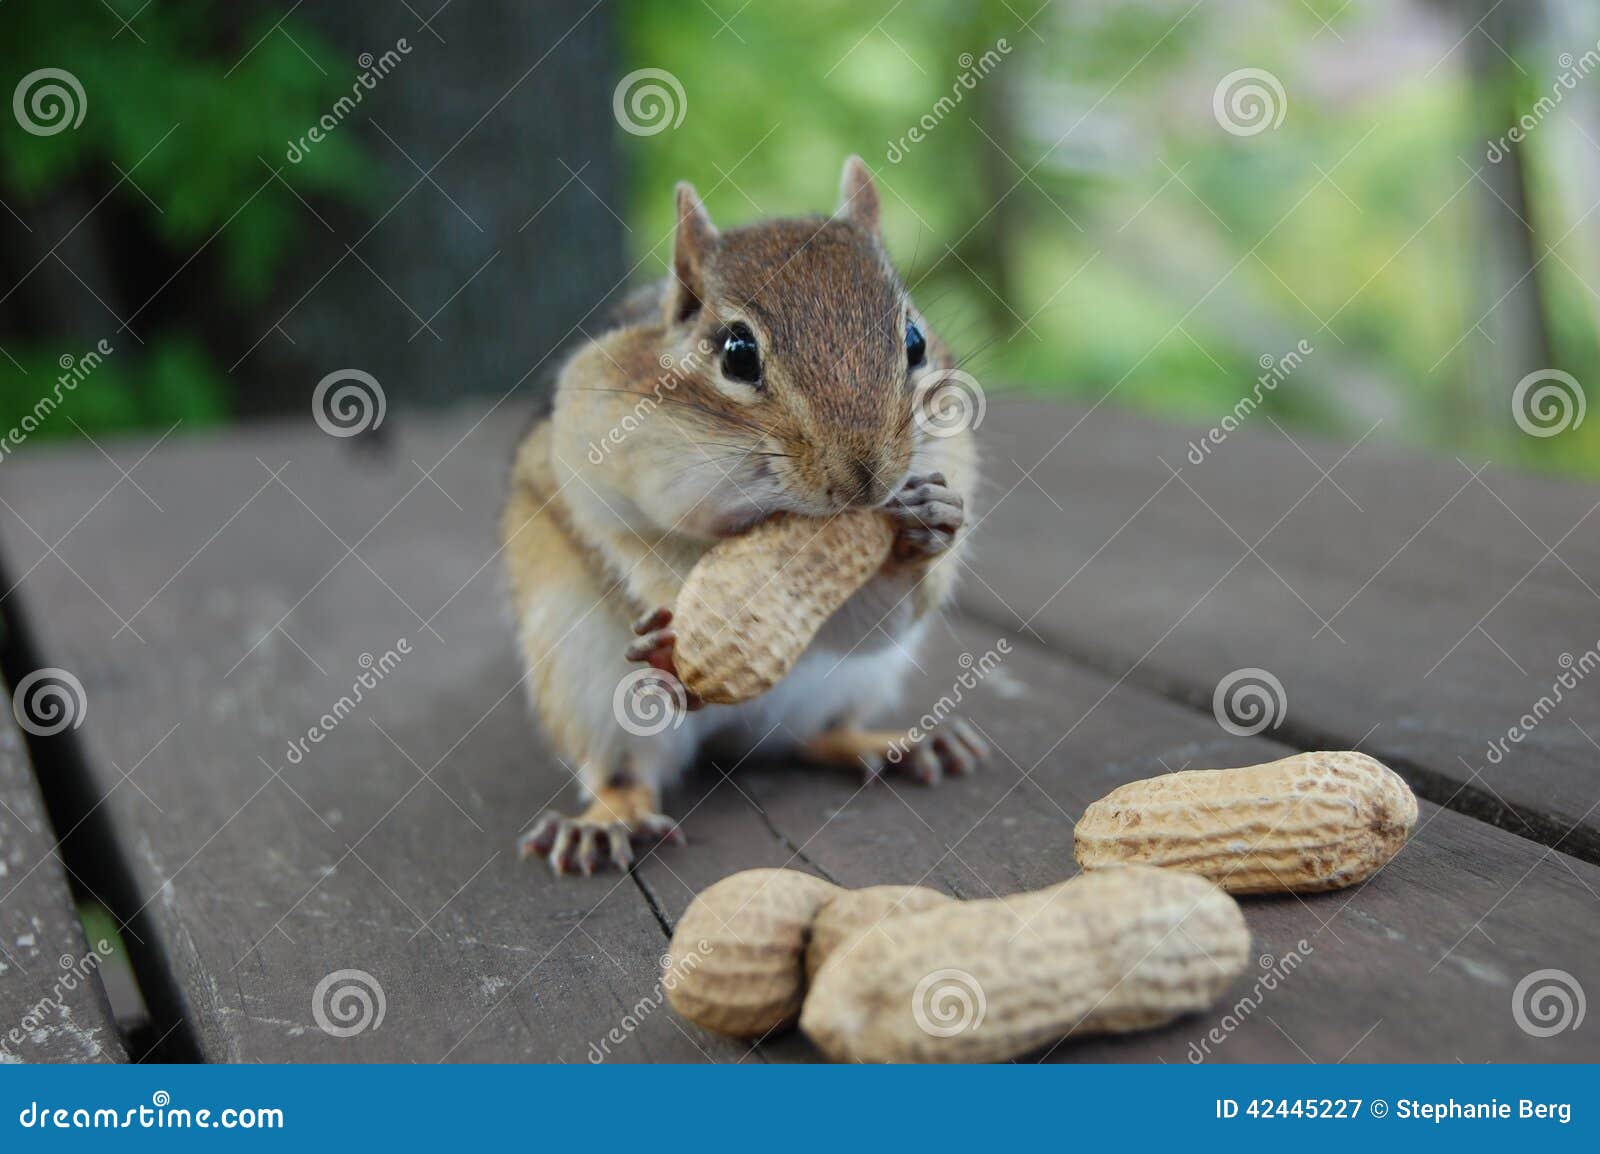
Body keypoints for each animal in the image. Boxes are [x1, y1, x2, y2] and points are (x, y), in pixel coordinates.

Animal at [502, 155, 986, 875]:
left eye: (915, 340)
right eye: (736, 353)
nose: (866, 478)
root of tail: (735, 736)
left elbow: (873, 620)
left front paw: (928, 526)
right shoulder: (584, 462)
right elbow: (630, 542)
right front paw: (674, 634)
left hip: (856, 684)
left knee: (816, 737)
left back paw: (891, 742)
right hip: (588, 684)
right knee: (626, 774)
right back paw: (606, 820)